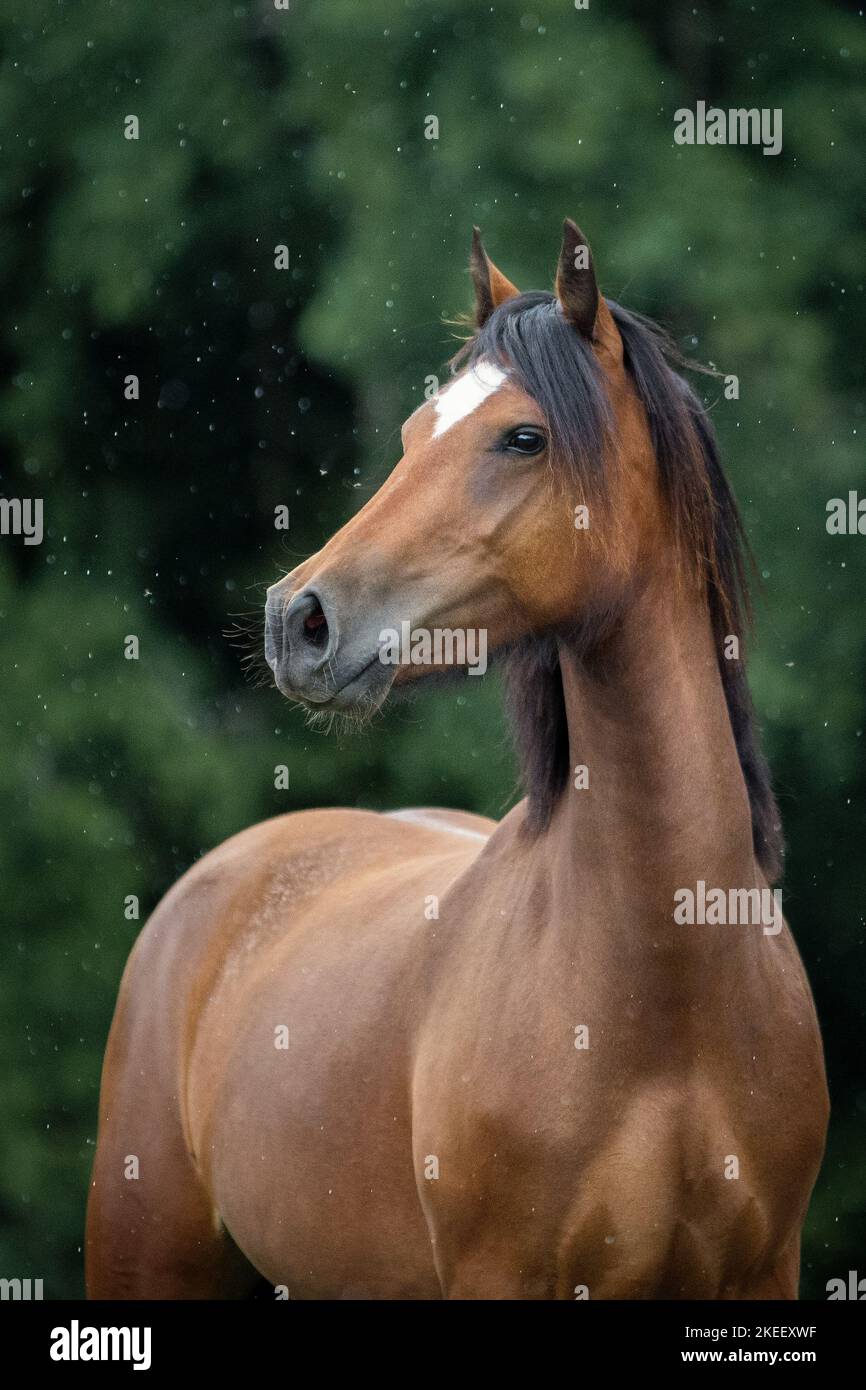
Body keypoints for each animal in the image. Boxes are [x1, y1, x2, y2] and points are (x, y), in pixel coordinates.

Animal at [86, 221, 828, 1299]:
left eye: (522, 438)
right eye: (408, 436)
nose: (297, 620)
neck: (670, 986)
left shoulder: (765, 1271)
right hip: (144, 1251)